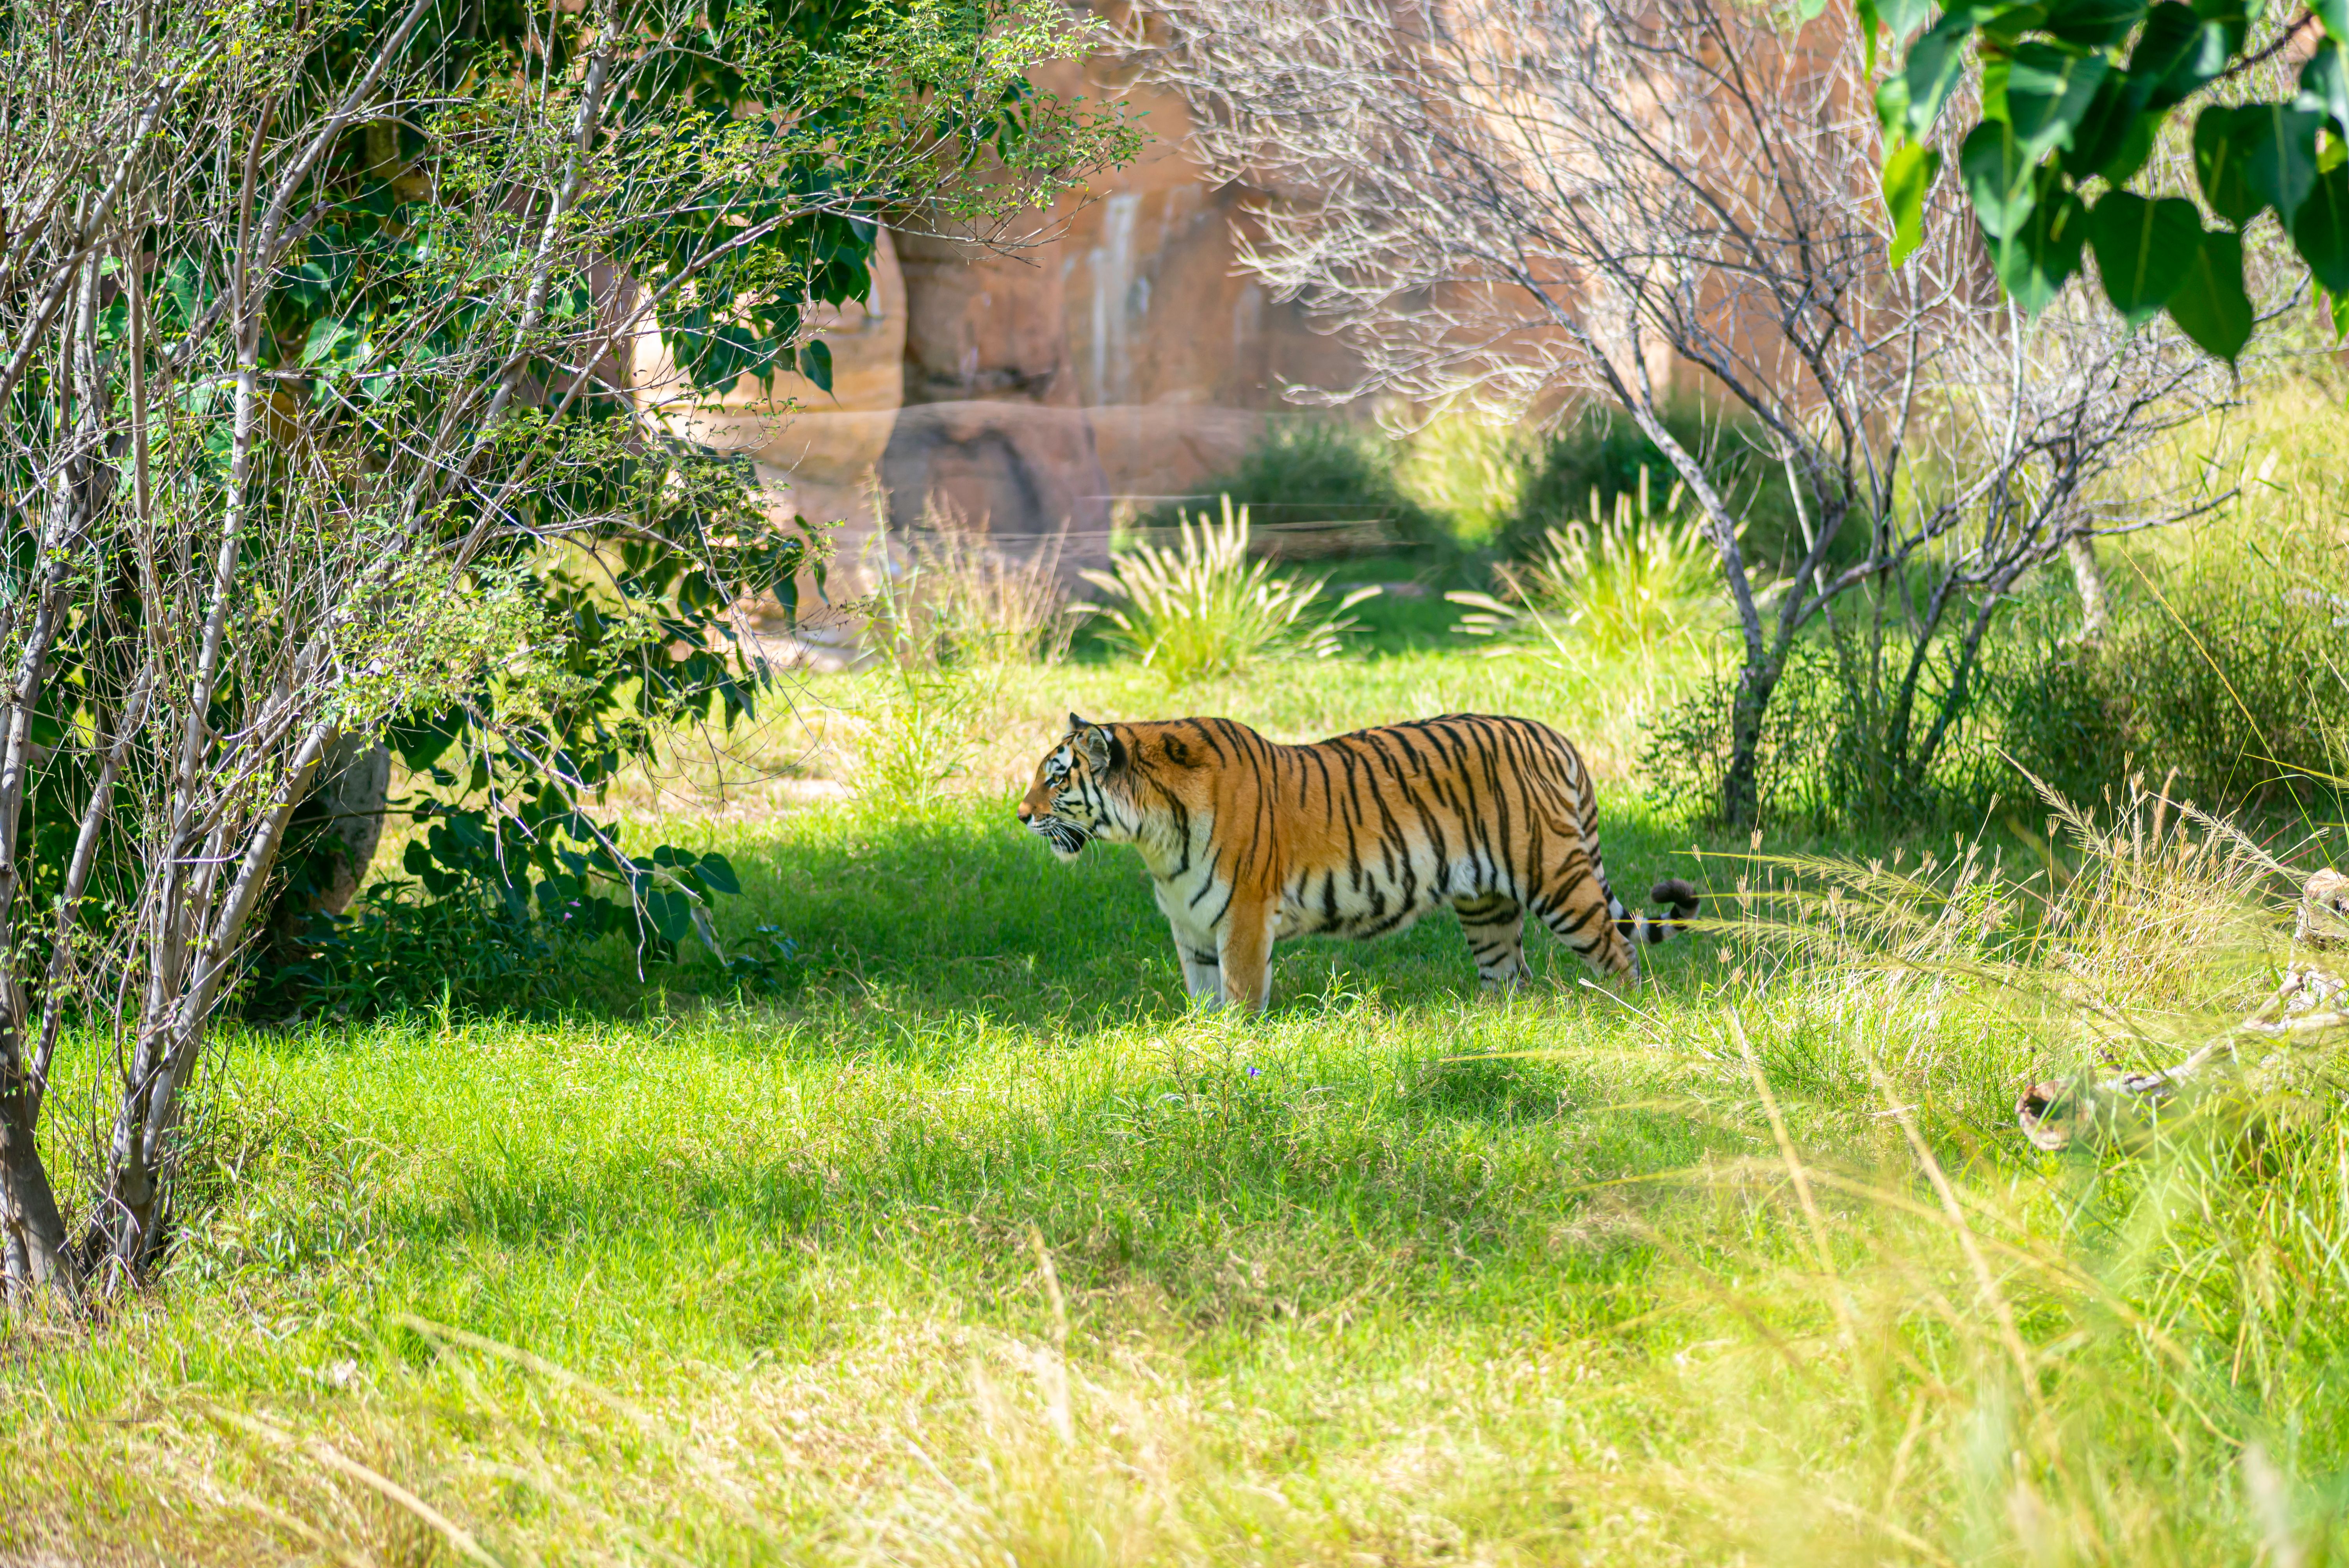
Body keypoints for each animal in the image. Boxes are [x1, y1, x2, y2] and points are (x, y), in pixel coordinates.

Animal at [1016, 711, 1698, 1010]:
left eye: (1056, 778)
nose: (1020, 815)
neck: (1151, 836)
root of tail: (1554, 736)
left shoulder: (1243, 918)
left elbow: (1239, 997)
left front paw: (1235, 1049)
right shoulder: (1191, 926)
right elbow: (1203, 998)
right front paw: (1203, 1043)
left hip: (1557, 878)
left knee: (1619, 951)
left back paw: (1624, 1015)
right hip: (1486, 903)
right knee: (1510, 974)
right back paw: (1489, 1031)